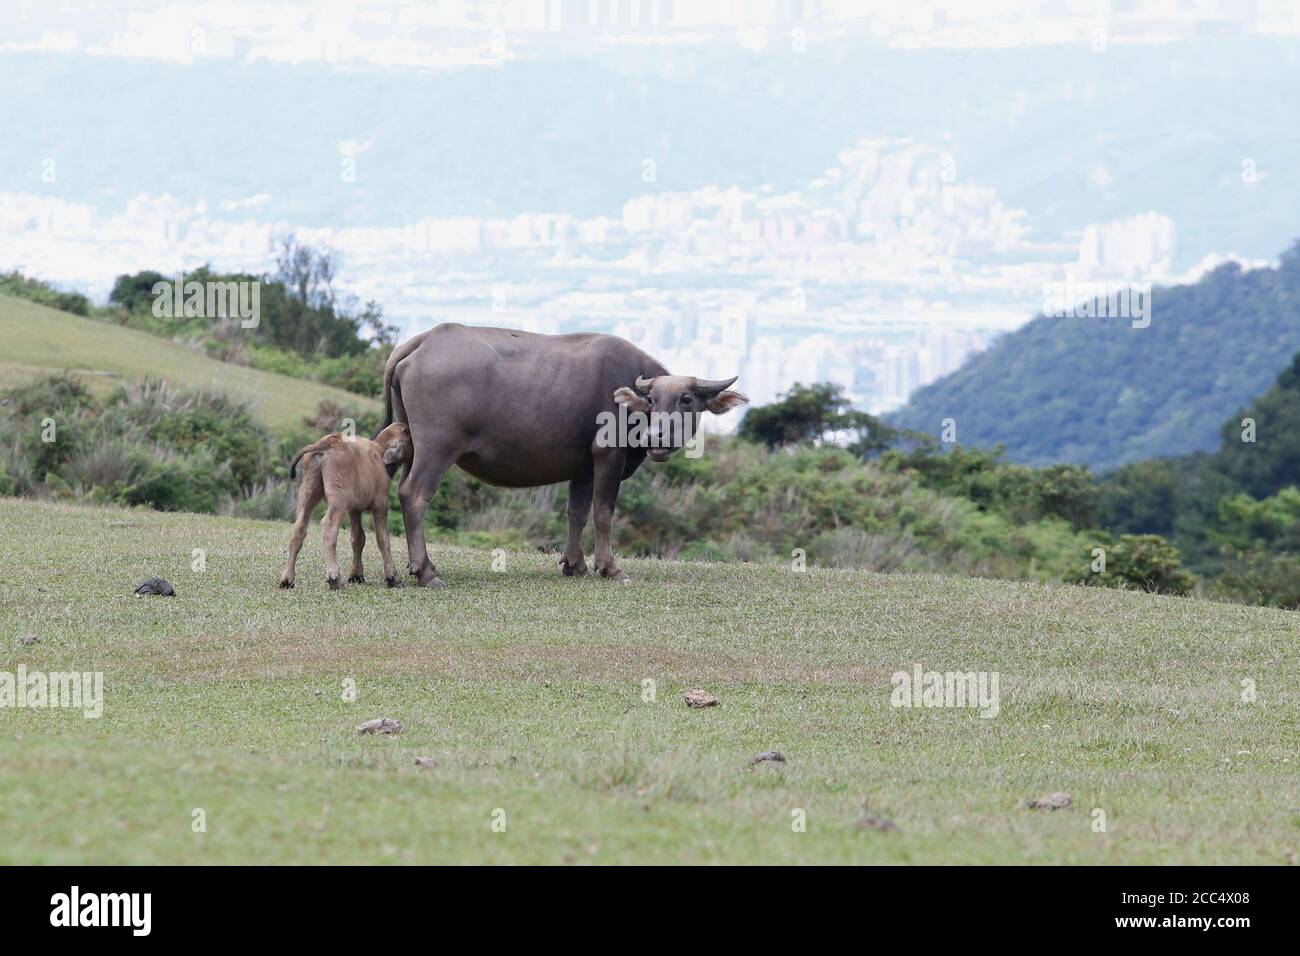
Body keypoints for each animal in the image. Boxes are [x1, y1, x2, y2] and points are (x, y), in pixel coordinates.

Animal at [380, 323, 748, 586]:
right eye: (652, 400)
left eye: (686, 399)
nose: (655, 435)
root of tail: (423, 341)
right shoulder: (608, 456)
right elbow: (603, 512)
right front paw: (610, 567)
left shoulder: (583, 468)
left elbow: (577, 512)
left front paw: (575, 565)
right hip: (437, 448)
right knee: (414, 495)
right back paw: (426, 572)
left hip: (410, 444)